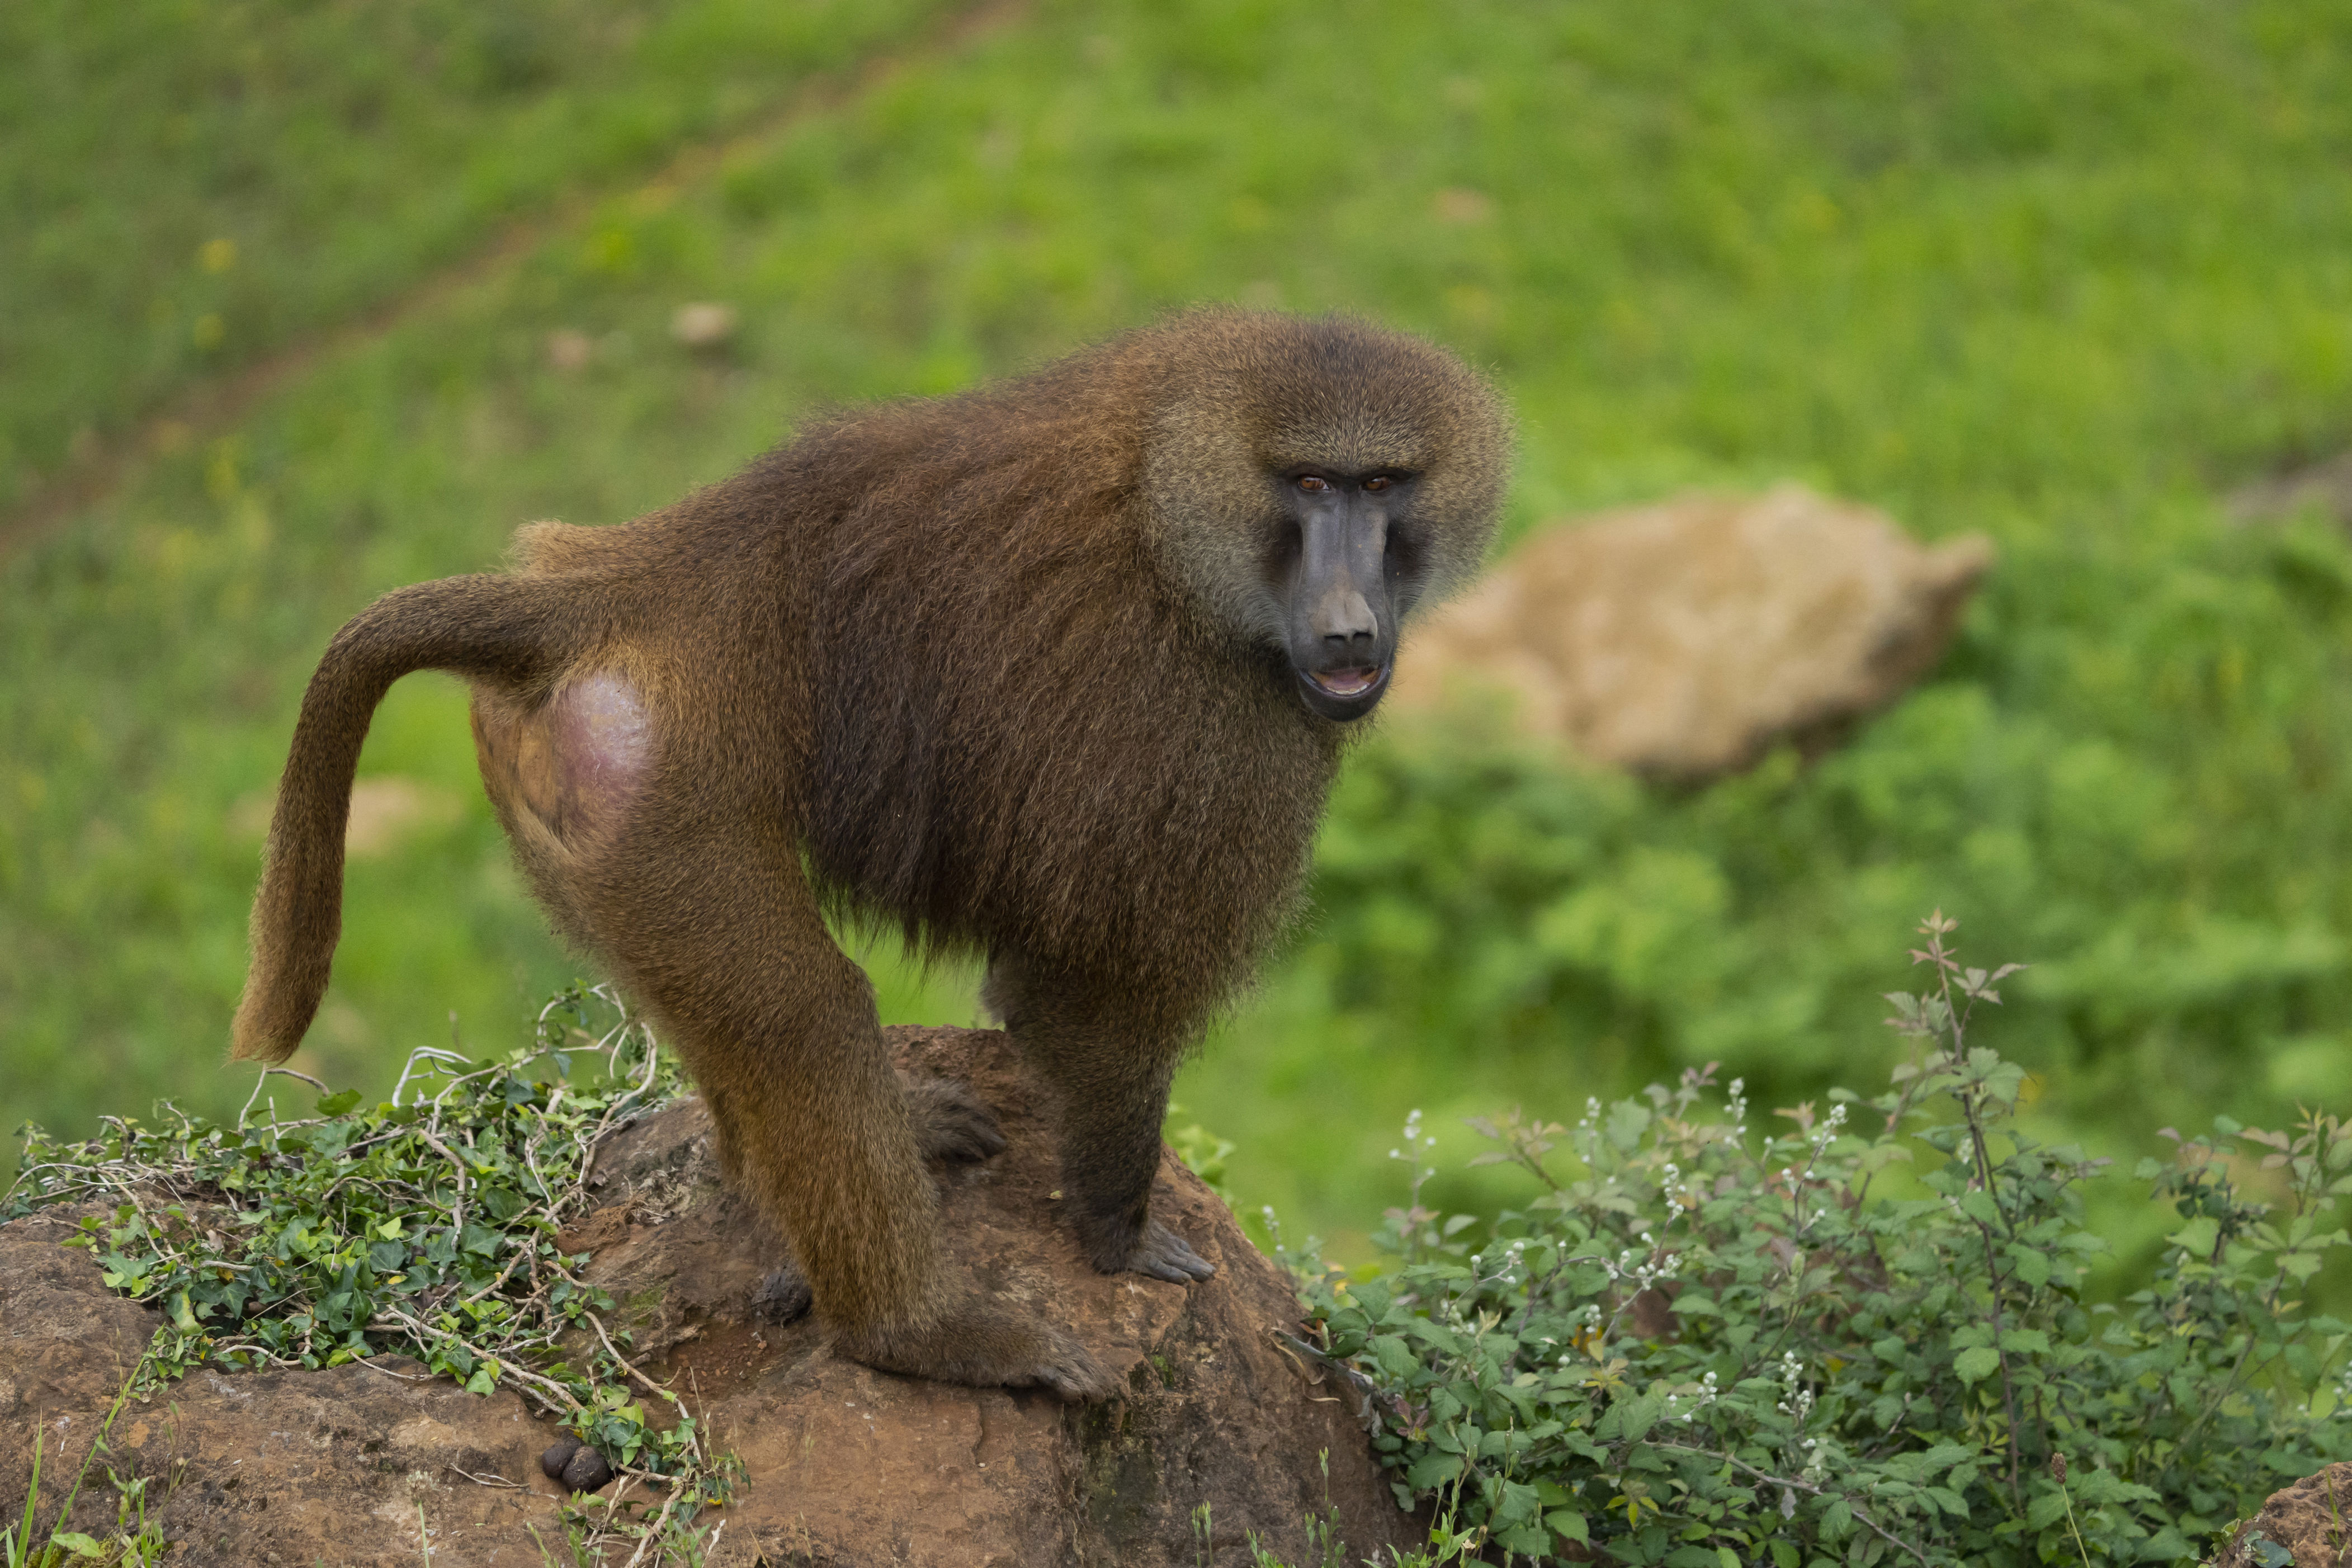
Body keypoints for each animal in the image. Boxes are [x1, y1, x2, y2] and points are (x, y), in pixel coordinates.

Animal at [230, 309, 1511, 1400]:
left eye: (1383, 486)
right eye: (1310, 485)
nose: (1348, 628)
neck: (1165, 492)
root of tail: (613, 586)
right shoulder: (1200, 730)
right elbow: (1079, 1000)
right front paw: (1121, 1234)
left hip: (567, 808)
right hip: (657, 800)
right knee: (804, 1014)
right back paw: (926, 1335)